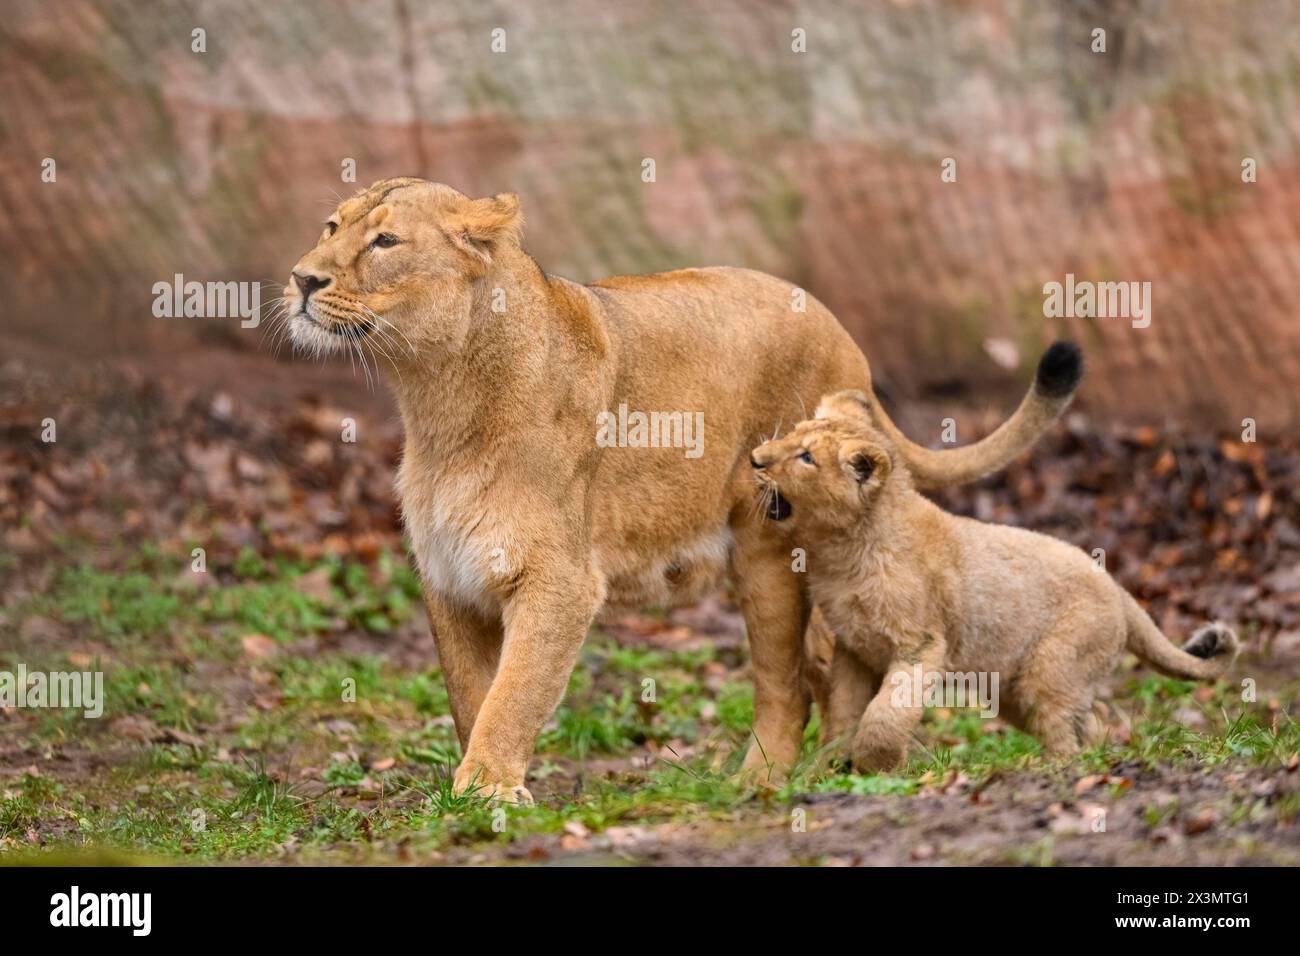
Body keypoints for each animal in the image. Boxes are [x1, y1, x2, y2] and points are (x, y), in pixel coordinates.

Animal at [283, 178, 1083, 802]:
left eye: (385, 241)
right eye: (330, 227)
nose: (301, 280)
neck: (436, 399)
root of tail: (841, 334)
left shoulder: (559, 579)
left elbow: (514, 693)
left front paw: (487, 791)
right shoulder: (450, 576)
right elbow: (471, 693)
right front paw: (480, 785)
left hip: (768, 549)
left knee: (788, 685)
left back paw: (762, 782)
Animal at [749, 389, 1239, 771]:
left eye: (807, 458)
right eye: (793, 432)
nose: (754, 459)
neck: (841, 549)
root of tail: (1119, 590)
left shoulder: (921, 645)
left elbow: (885, 714)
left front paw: (879, 764)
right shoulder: (855, 649)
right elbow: (847, 711)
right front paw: (832, 765)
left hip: (1052, 668)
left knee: (1069, 720)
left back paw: (1057, 767)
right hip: (1012, 689)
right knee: (1092, 715)